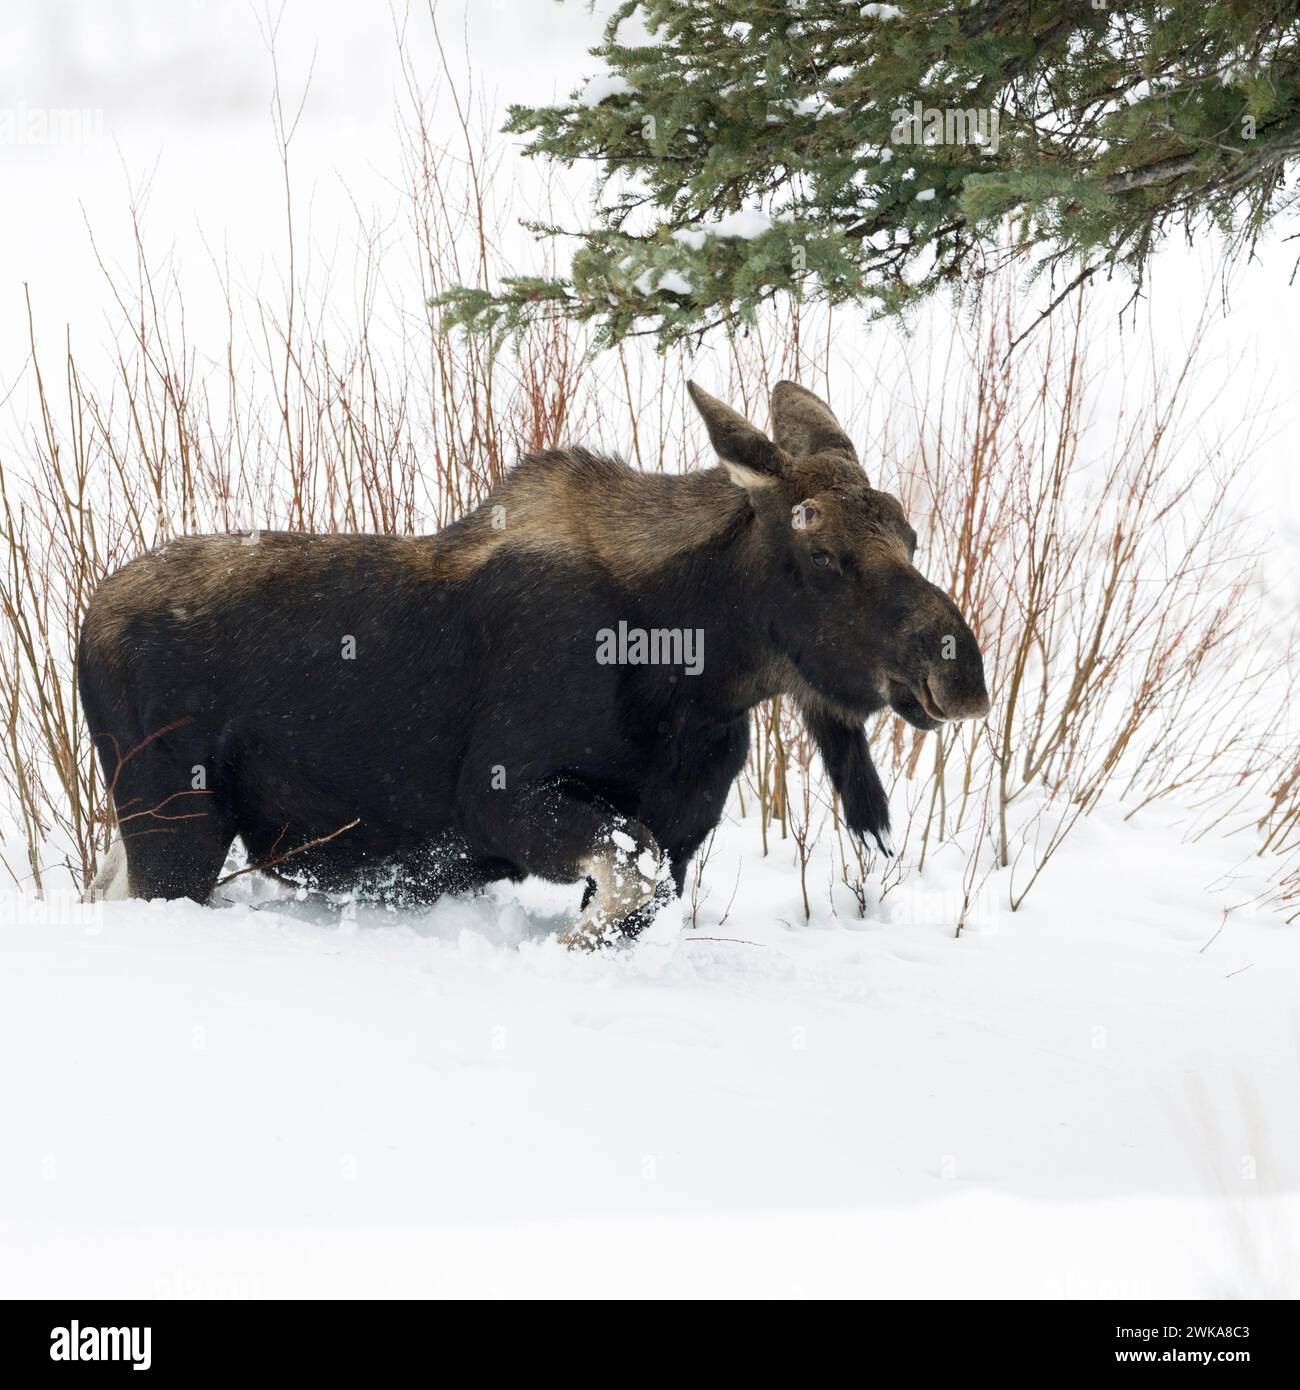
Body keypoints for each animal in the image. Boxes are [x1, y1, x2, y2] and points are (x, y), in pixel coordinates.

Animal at [77, 380, 989, 946]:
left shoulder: (682, 826)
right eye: (824, 552)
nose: (961, 672)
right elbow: (628, 883)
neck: (698, 676)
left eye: (910, 536)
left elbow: (637, 900)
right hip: (174, 824)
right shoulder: (500, 794)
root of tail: (85, 622)